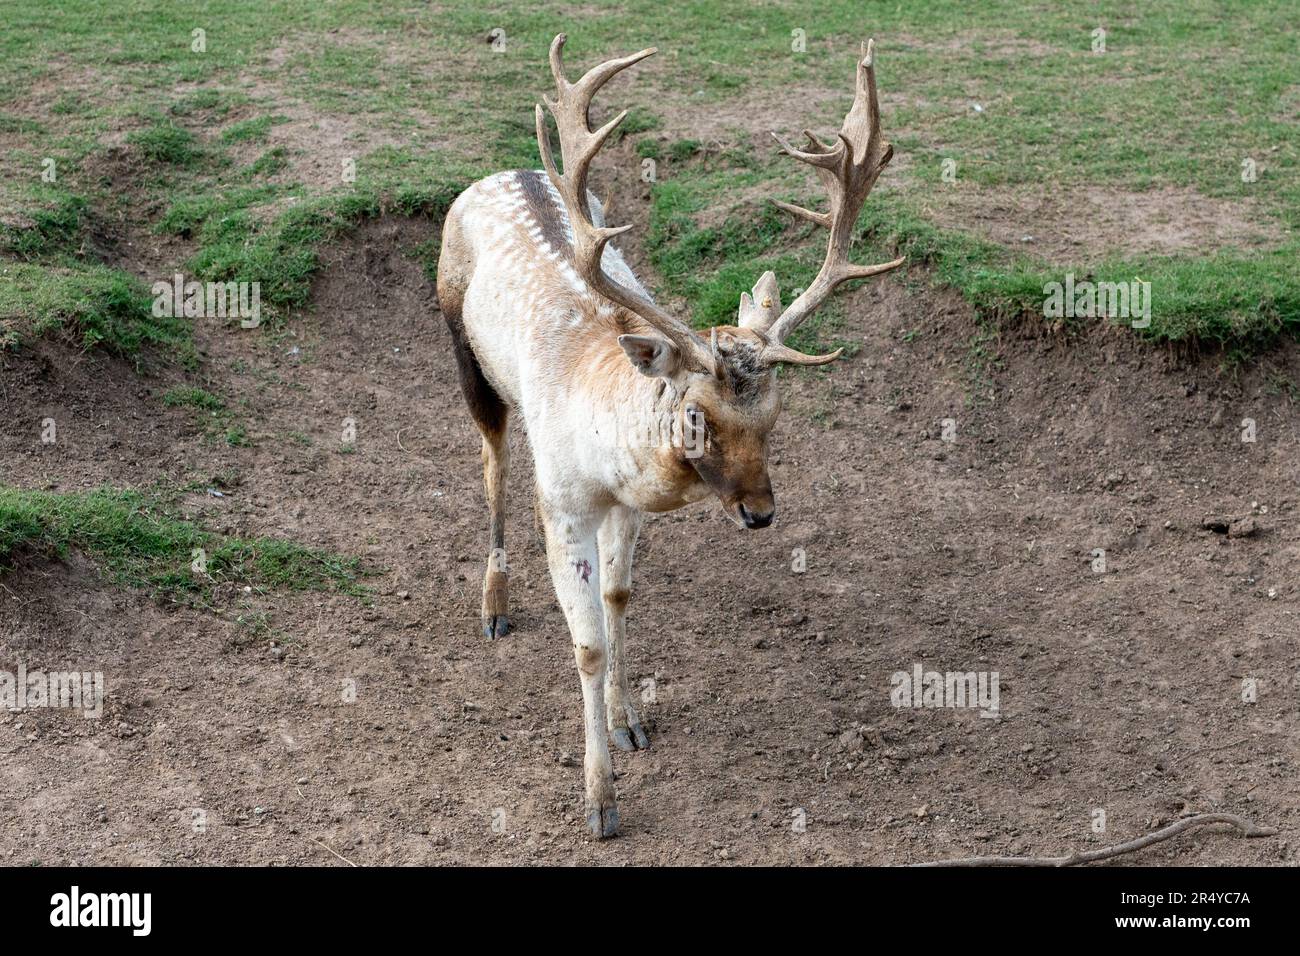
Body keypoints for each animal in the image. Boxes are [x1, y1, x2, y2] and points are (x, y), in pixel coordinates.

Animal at [436, 33, 902, 838]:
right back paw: (493, 607)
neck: (606, 454)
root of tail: (502, 170)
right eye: (697, 417)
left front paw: (630, 723)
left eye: (774, 417)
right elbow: (587, 643)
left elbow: (620, 597)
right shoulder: (564, 502)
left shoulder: (626, 507)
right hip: (460, 342)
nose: (761, 513)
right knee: (492, 462)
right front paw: (600, 799)